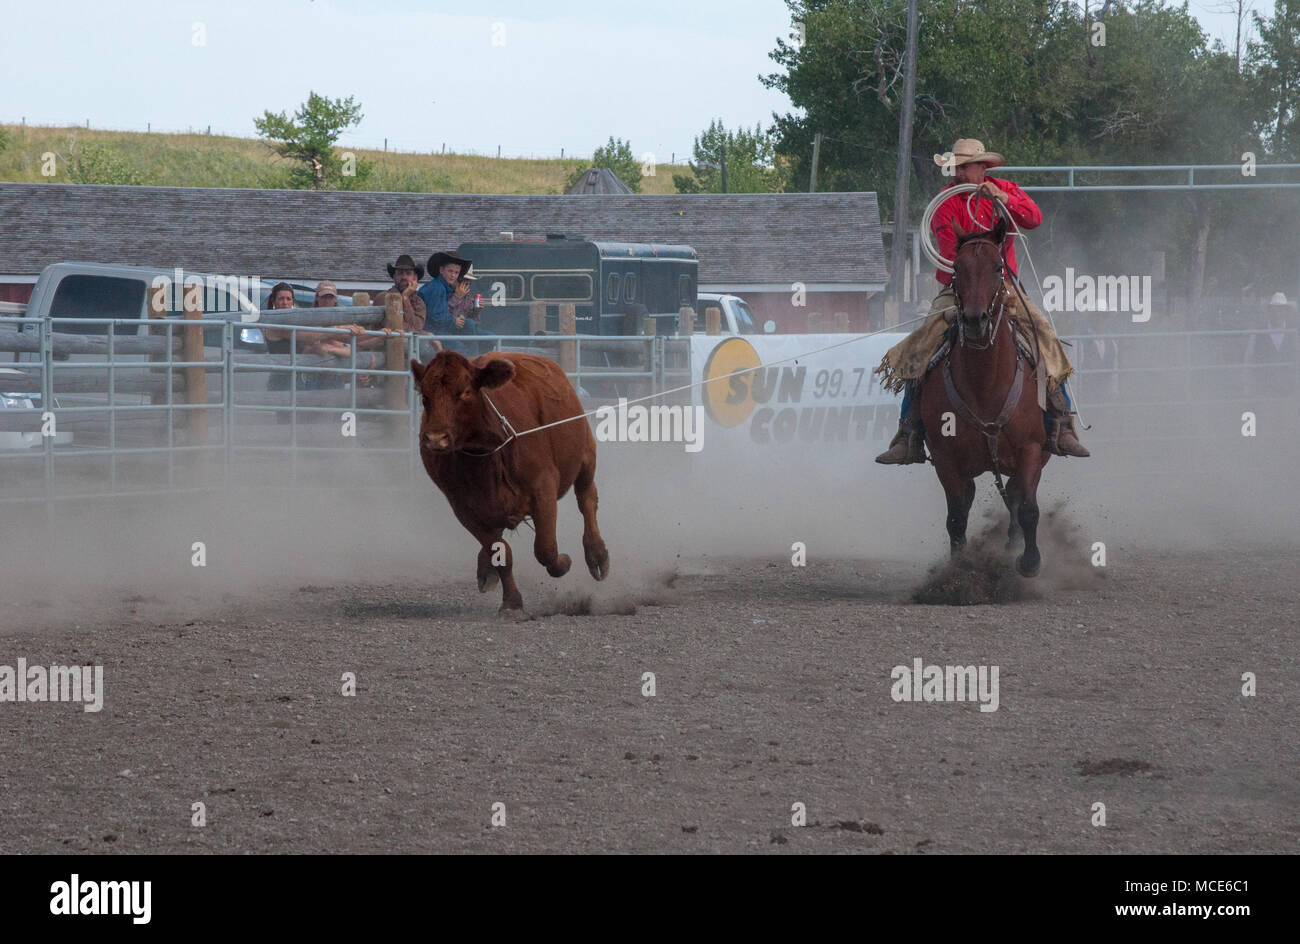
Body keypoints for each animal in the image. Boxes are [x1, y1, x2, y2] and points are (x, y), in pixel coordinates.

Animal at [410, 350, 610, 611]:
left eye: (465, 392)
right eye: (425, 396)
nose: (435, 439)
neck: (486, 455)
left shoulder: (543, 489)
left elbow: (545, 549)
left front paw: (564, 562)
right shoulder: (463, 508)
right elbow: (501, 554)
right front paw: (512, 602)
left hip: (586, 455)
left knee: (587, 500)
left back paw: (597, 555)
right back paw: (485, 570)